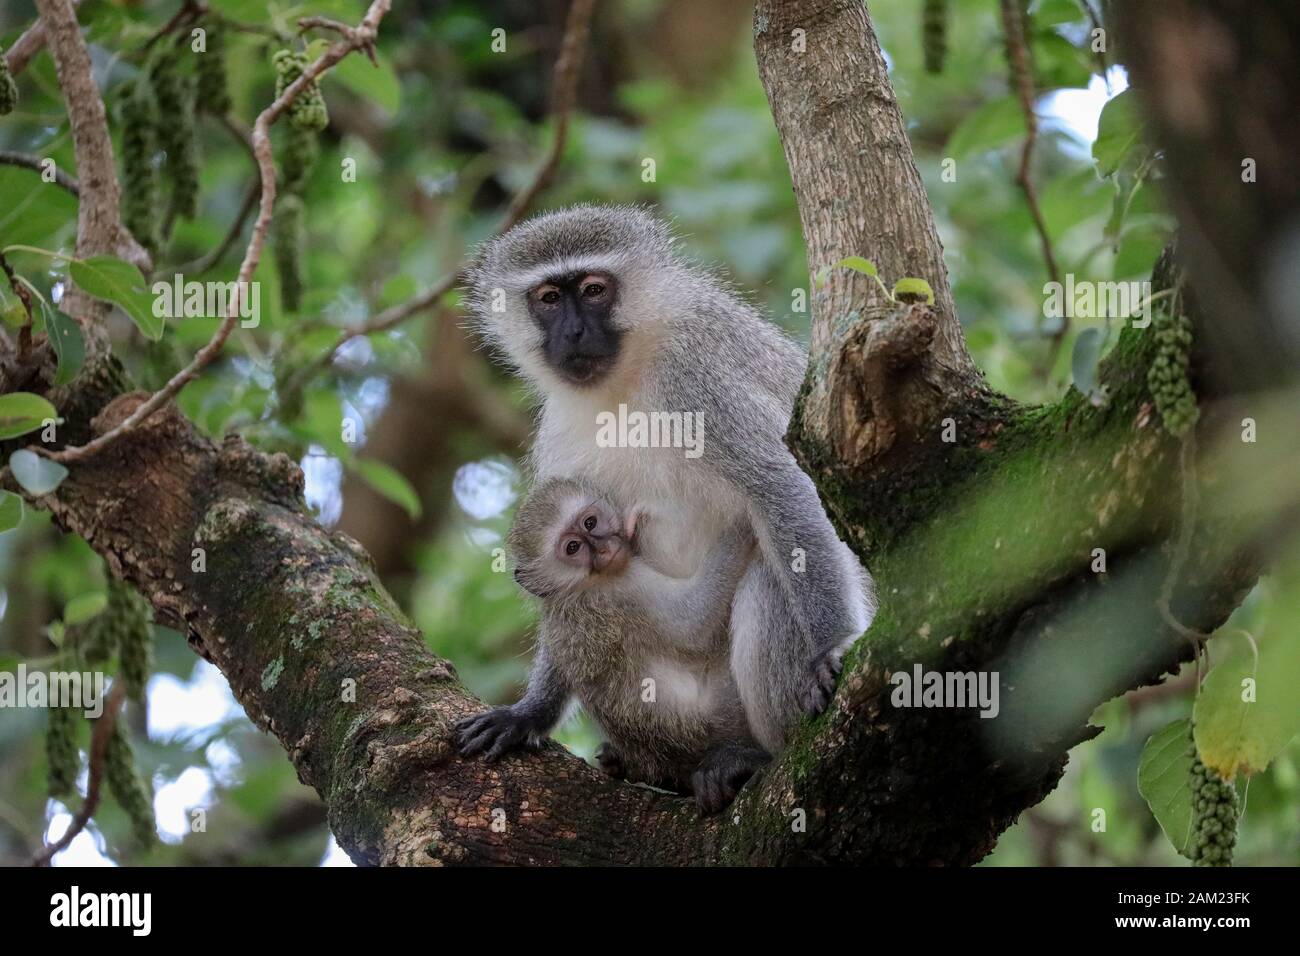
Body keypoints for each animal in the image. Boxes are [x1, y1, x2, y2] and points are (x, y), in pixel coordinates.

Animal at [455, 477, 770, 813]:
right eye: (573, 548)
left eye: (590, 523)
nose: (604, 547)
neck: (575, 586)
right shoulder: (625, 589)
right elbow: (696, 622)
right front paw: (741, 526)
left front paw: (524, 717)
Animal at [465, 204, 875, 754]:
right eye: (549, 298)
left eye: (593, 290)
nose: (574, 333)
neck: (622, 384)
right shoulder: (559, 430)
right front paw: (530, 712)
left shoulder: (694, 373)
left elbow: (780, 483)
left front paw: (831, 647)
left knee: (770, 568)